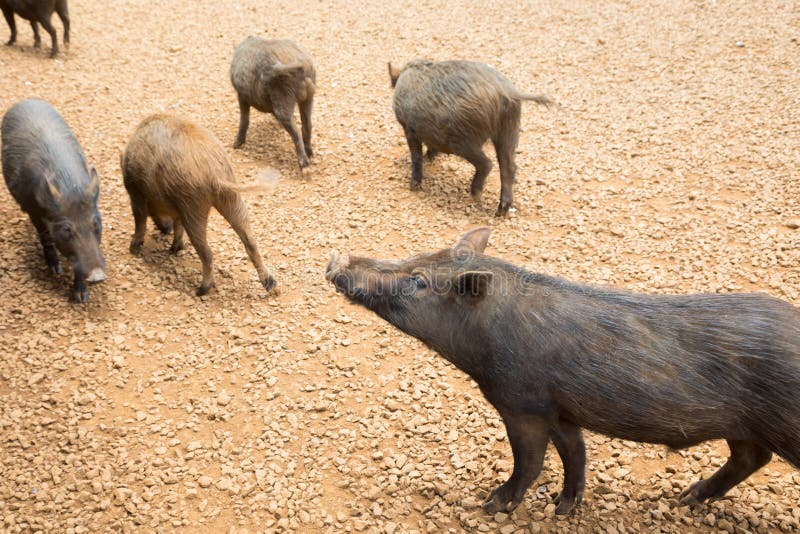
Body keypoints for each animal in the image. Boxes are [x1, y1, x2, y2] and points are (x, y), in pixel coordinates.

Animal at [1, 98, 105, 302]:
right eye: (66, 229)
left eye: (96, 223)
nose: (98, 276)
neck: (69, 184)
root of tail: (27, 99)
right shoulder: (33, 210)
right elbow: (46, 237)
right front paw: (56, 271)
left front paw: (82, 298)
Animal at [121, 113, 278, 296]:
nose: (165, 229)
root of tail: (214, 173)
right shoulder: (177, 208)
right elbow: (177, 225)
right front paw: (173, 250)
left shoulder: (136, 192)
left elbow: (140, 219)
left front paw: (134, 250)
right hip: (231, 198)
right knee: (251, 241)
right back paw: (272, 286)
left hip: (194, 205)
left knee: (207, 252)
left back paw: (200, 291)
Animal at [230, 37, 316, 171]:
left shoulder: (242, 96)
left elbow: (244, 119)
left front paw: (236, 145)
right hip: (308, 98)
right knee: (307, 124)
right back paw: (310, 154)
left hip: (283, 101)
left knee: (296, 133)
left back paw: (305, 167)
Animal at [326, 227, 800, 515]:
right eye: (418, 254)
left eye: (419, 281)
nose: (337, 259)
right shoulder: (559, 409)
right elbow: (575, 453)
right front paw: (564, 507)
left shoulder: (522, 403)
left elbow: (531, 460)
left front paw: (492, 504)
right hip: (744, 428)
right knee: (751, 458)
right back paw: (687, 498)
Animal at [389, 60, 552, 216]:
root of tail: (506, 91)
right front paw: (429, 157)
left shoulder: (409, 129)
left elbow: (416, 156)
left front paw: (413, 186)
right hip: (509, 128)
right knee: (508, 166)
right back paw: (500, 212)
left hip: (464, 140)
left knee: (487, 163)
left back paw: (475, 195)